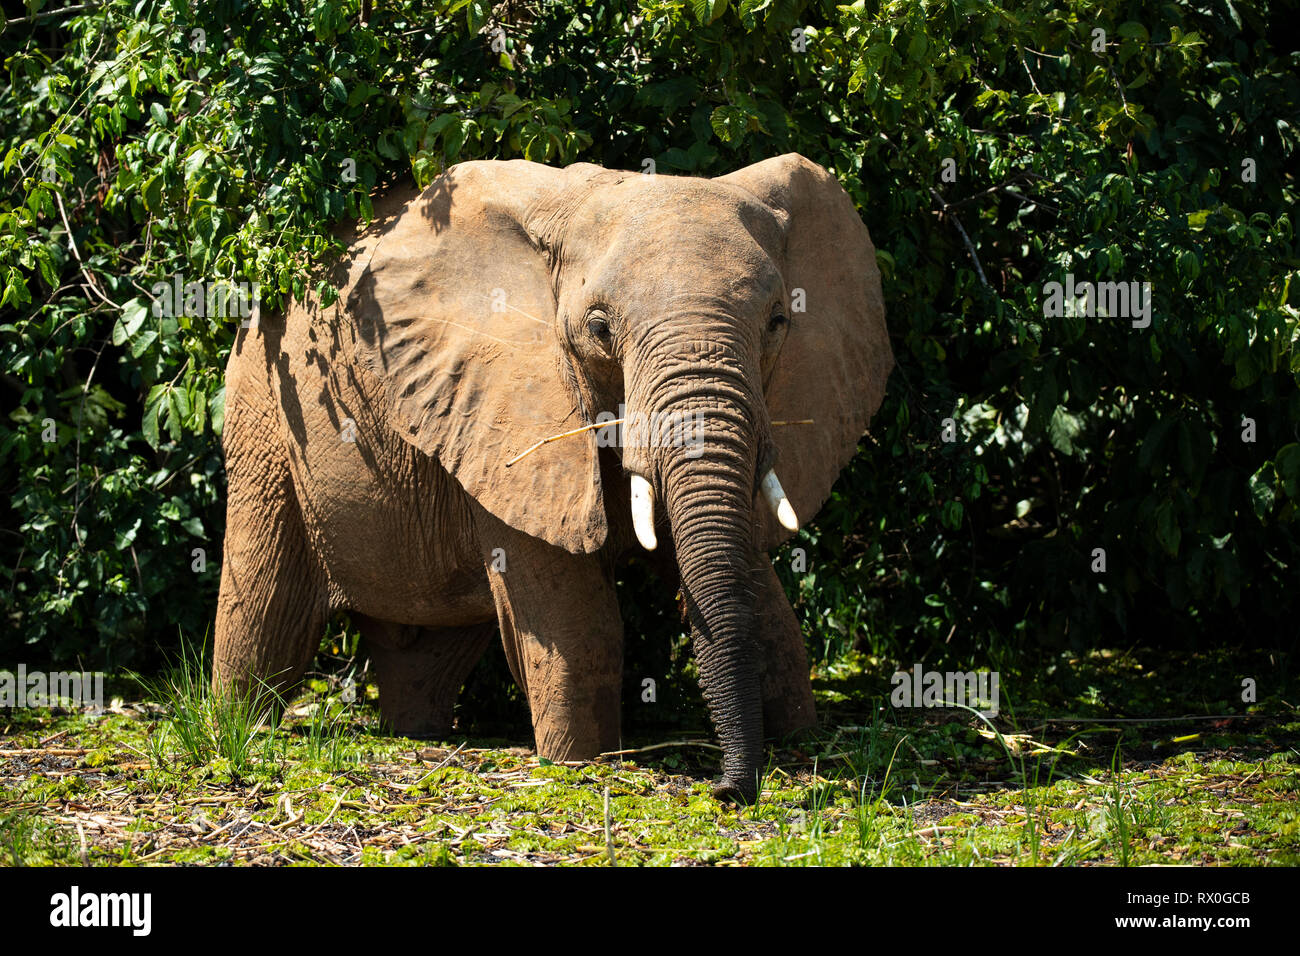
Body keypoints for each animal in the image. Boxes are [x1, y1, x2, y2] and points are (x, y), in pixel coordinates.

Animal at [212, 153, 893, 802]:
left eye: (778, 321)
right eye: (600, 328)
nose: (728, 790)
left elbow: (766, 603)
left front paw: (800, 739)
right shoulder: (497, 410)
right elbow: (577, 618)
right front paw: (580, 763)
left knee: (423, 651)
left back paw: (415, 732)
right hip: (262, 412)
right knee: (263, 603)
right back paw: (231, 725)